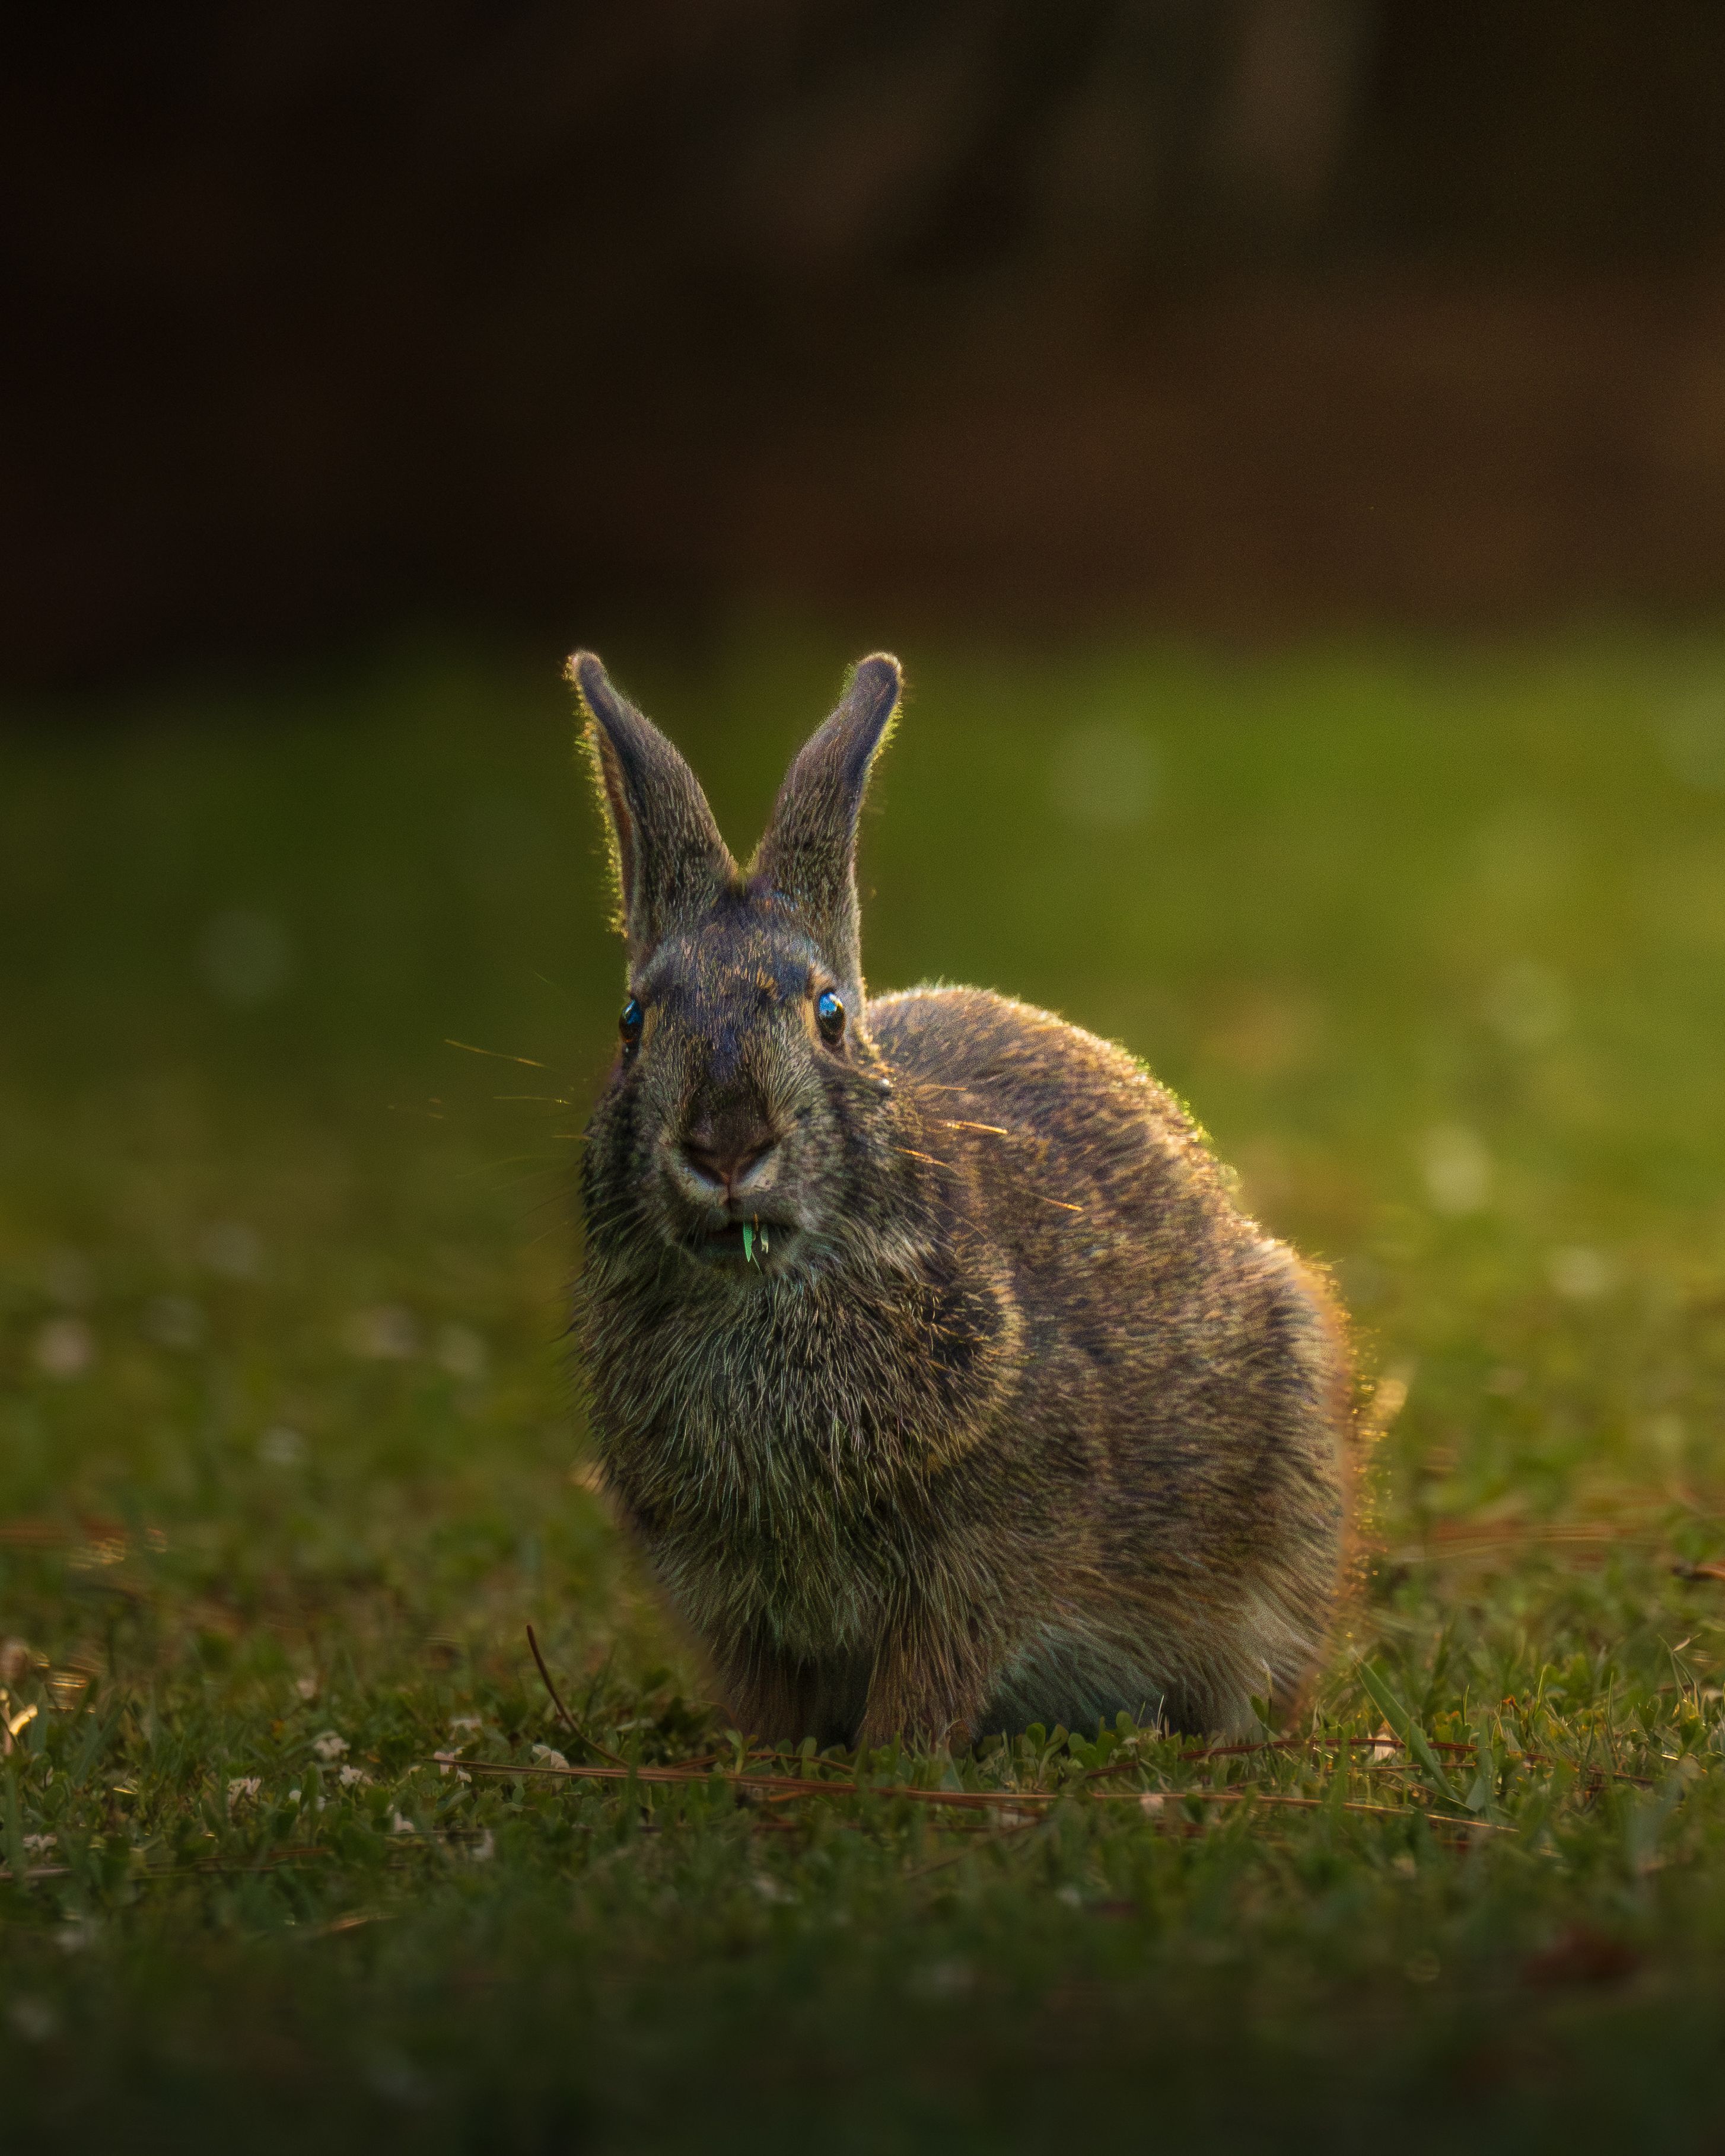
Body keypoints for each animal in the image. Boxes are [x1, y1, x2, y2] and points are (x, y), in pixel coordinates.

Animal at [570, 648, 1353, 1750]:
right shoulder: (718, 1585)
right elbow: (768, 1688)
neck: (760, 1292)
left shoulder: (986, 1557)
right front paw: (767, 1755)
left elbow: (933, 1670)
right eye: (633, 1022)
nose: (727, 1146)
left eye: (828, 1015)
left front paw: (890, 1757)